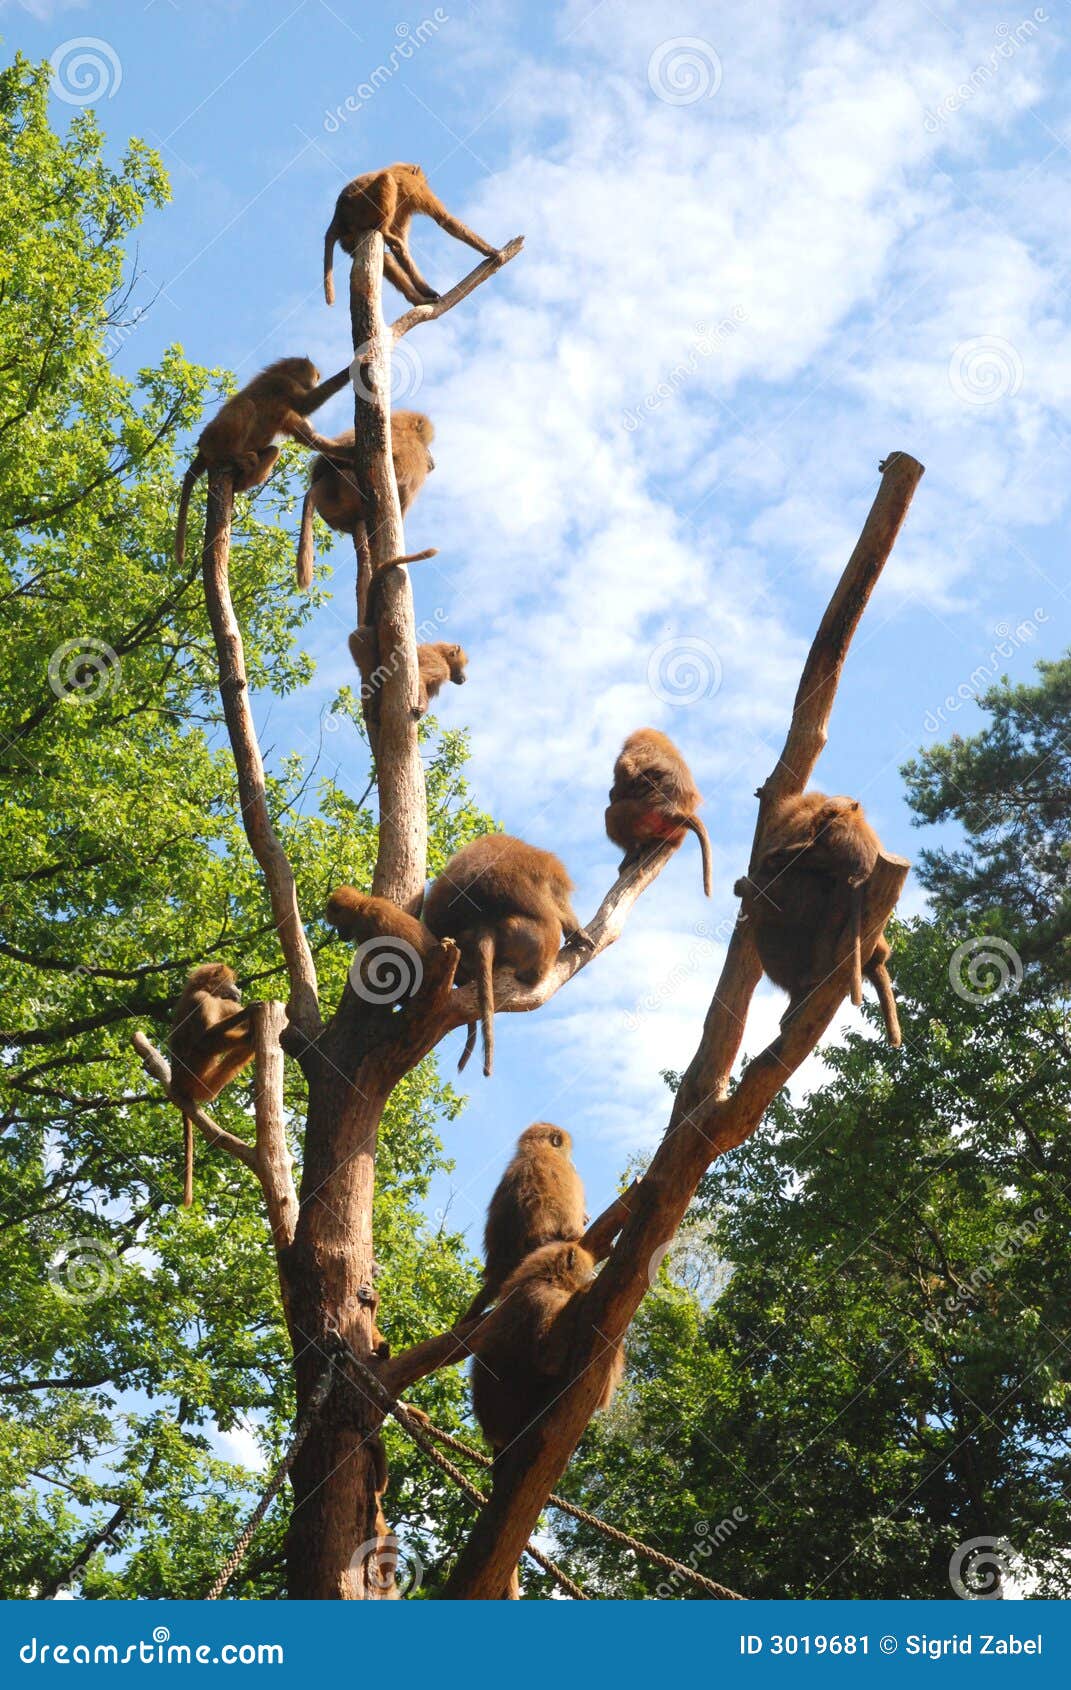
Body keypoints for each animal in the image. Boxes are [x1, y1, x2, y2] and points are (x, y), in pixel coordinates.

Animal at [167, 964, 256, 1207]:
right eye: (231, 982)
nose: (238, 989)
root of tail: (175, 1083)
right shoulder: (201, 1000)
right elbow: (204, 1041)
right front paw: (247, 1015)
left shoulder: (221, 1001)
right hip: (192, 1076)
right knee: (203, 1046)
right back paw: (249, 1038)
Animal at [175, 358, 351, 566]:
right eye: (314, 375)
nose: (316, 379)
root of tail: (203, 449)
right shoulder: (281, 383)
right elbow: (306, 404)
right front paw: (354, 367)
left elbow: (309, 438)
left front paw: (351, 452)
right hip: (214, 436)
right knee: (246, 406)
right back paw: (228, 455)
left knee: (273, 451)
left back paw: (239, 482)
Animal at [323, 163, 500, 307]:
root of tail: (339, 213)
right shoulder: (415, 187)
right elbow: (444, 220)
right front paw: (492, 252)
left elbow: (400, 251)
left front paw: (425, 290)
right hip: (359, 207)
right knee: (387, 180)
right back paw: (385, 231)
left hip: (351, 234)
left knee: (387, 257)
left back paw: (418, 300)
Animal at [470, 1241, 624, 1598]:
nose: (593, 1276)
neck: (545, 1277)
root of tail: (497, 1436)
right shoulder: (543, 1299)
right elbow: (550, 1359)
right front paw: (583, 1293)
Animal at [605, 729, 713, 897]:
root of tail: (672, 810)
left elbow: (626, 767)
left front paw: (614, 793)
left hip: (641, 813)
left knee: (610, 815)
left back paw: (632, 852)